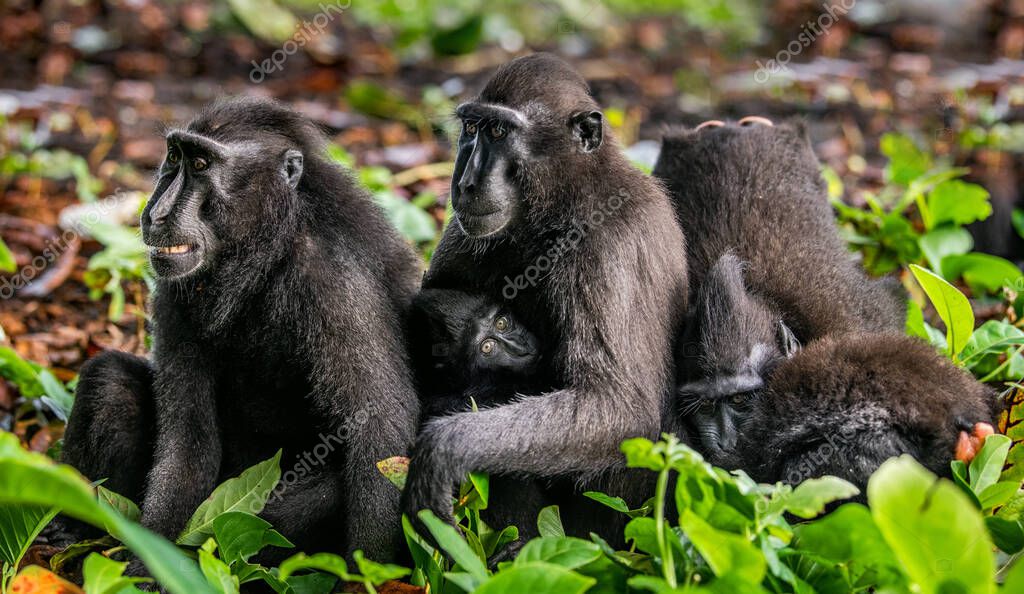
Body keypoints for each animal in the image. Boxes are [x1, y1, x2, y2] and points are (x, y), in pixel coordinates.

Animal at [60, 97, 421, 563]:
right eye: (174, 158)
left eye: (200, 164)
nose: (155, 213)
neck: (265, 250)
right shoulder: (175, 288)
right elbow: (187, 438)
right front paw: (153, 560)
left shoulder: (333, 277)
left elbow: (378, 424)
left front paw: (371, 573)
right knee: (109, 379)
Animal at [401, 53, 688, 543]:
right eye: (471, 128)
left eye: (500, 133)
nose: (466, 181)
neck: (561, 209)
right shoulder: (465, 229)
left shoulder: (609, 249)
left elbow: (619, 409)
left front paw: (445, 447)